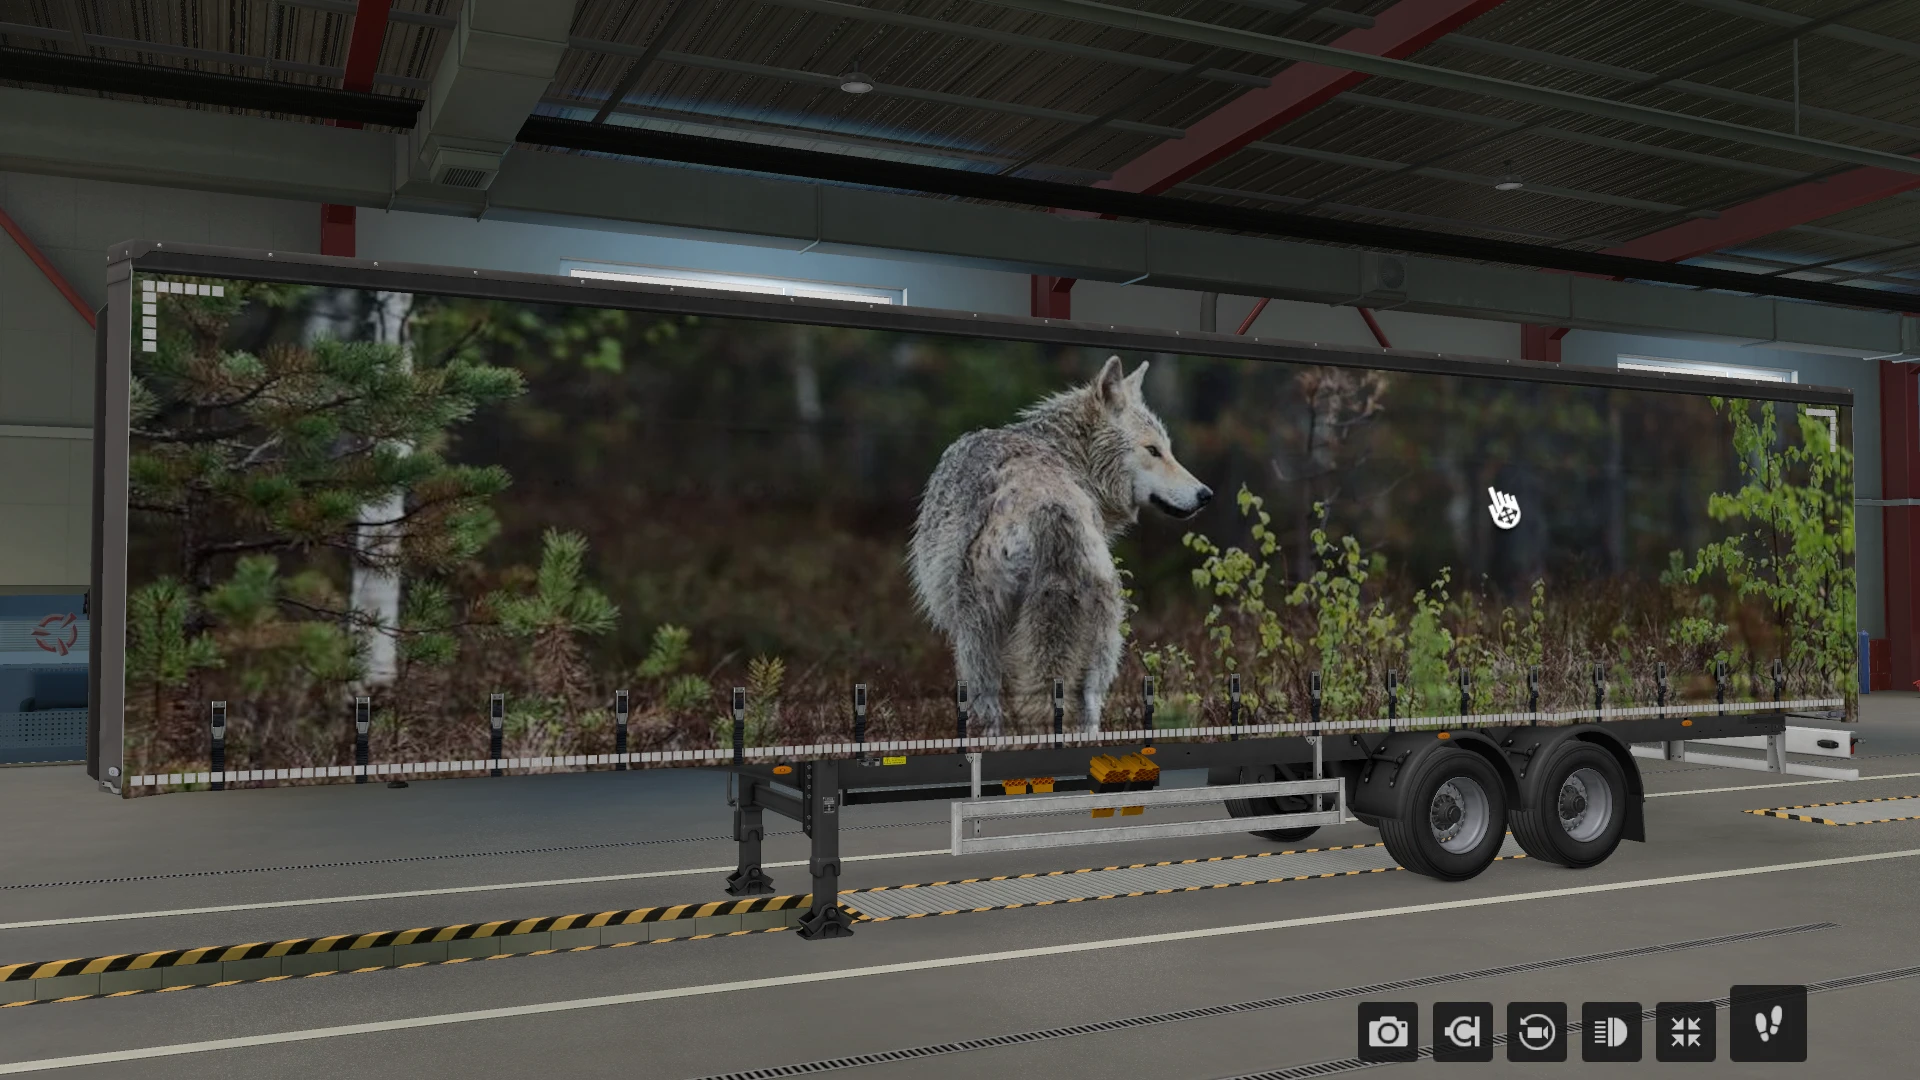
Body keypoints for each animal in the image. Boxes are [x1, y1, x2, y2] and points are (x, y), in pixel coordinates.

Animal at [908, 356, 1212, 737]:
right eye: (1154, 450)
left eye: (1166, 449)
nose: (1206, 494)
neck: (1068, 455)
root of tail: (1052, 508)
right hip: (1104, 642)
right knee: (1086, 709)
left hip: (976, 636)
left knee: (992, 709)